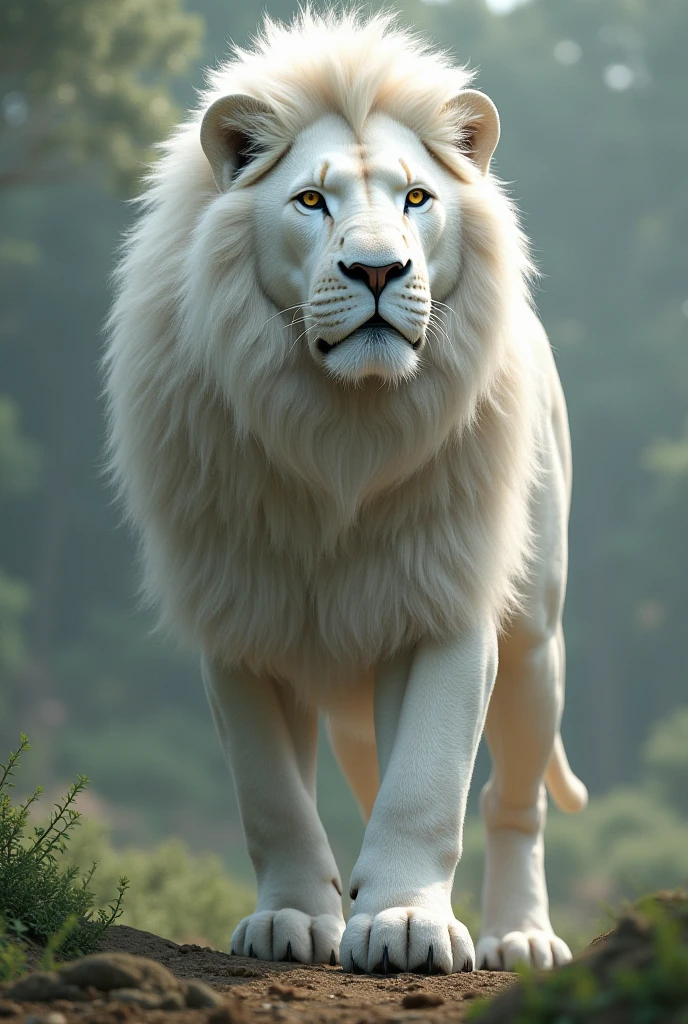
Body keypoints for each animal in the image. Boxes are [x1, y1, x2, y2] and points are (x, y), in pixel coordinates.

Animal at [104, 10, 588, 975]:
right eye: (311, 202)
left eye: (416, 200)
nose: (376, 271)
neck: (341, 432)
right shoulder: (236, 613)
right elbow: (272, 798)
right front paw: (295, 920)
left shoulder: (446, 596)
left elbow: (428, 784)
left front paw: (404, 925)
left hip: (535, 644)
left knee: (513, 801)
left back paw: (520, 936)